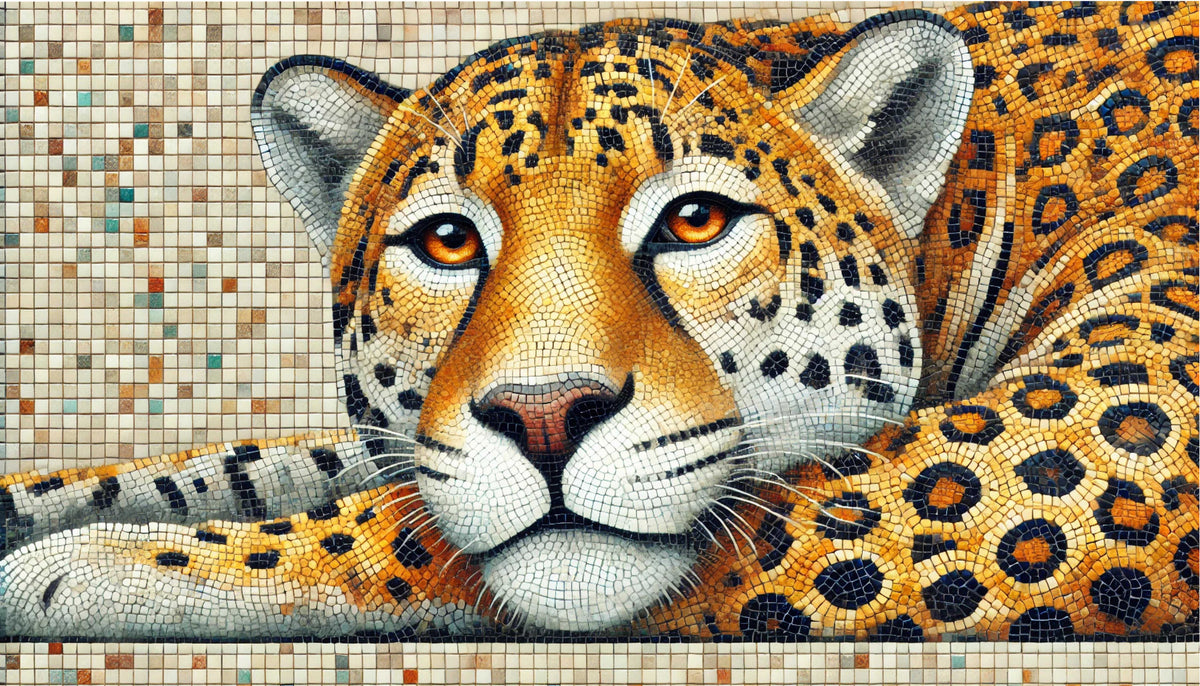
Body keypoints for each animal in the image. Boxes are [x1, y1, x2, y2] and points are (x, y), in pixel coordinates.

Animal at [0, 1, 1195, 641]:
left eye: (696, 220)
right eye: (447, 241)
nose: (544, 415)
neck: (978, 194)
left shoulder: (1107, 423)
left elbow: (412, 530)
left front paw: (96, 565)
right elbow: (248, 465)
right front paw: (49, 511)